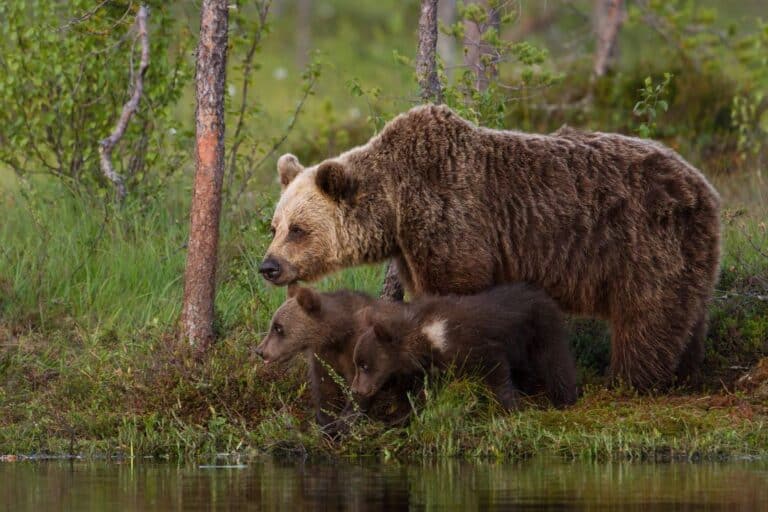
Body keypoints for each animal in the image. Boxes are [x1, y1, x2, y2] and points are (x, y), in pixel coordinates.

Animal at [255, 286, 417, 430]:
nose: (260, 351)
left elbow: (362, 383)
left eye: (278, 327)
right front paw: (327, 423)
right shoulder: (323, 355)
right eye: (272, 324)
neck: (337, 334)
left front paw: (344, 423)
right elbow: (324, 386)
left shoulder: (360, 348)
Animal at [259, 105, 721, 391]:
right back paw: (686, 372)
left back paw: (630, 378)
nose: (269, 267)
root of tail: (703, 184)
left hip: (645, 242)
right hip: (687, 252)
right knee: (686, 312)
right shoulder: (411, 245)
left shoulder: (450, 218)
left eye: (299, 229)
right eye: (275, 226)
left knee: (647, 314)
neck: (397, 204)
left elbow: (457, 289)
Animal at [350, 282, 578, 410]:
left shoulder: (469, 341)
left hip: (540, 329)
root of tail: (544, 296)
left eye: (364, 365)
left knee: (555, 362)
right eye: (358, 363)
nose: (355, 390)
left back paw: (565, 399)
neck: (426, 337)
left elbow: (494, 365)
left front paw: (511, 405)